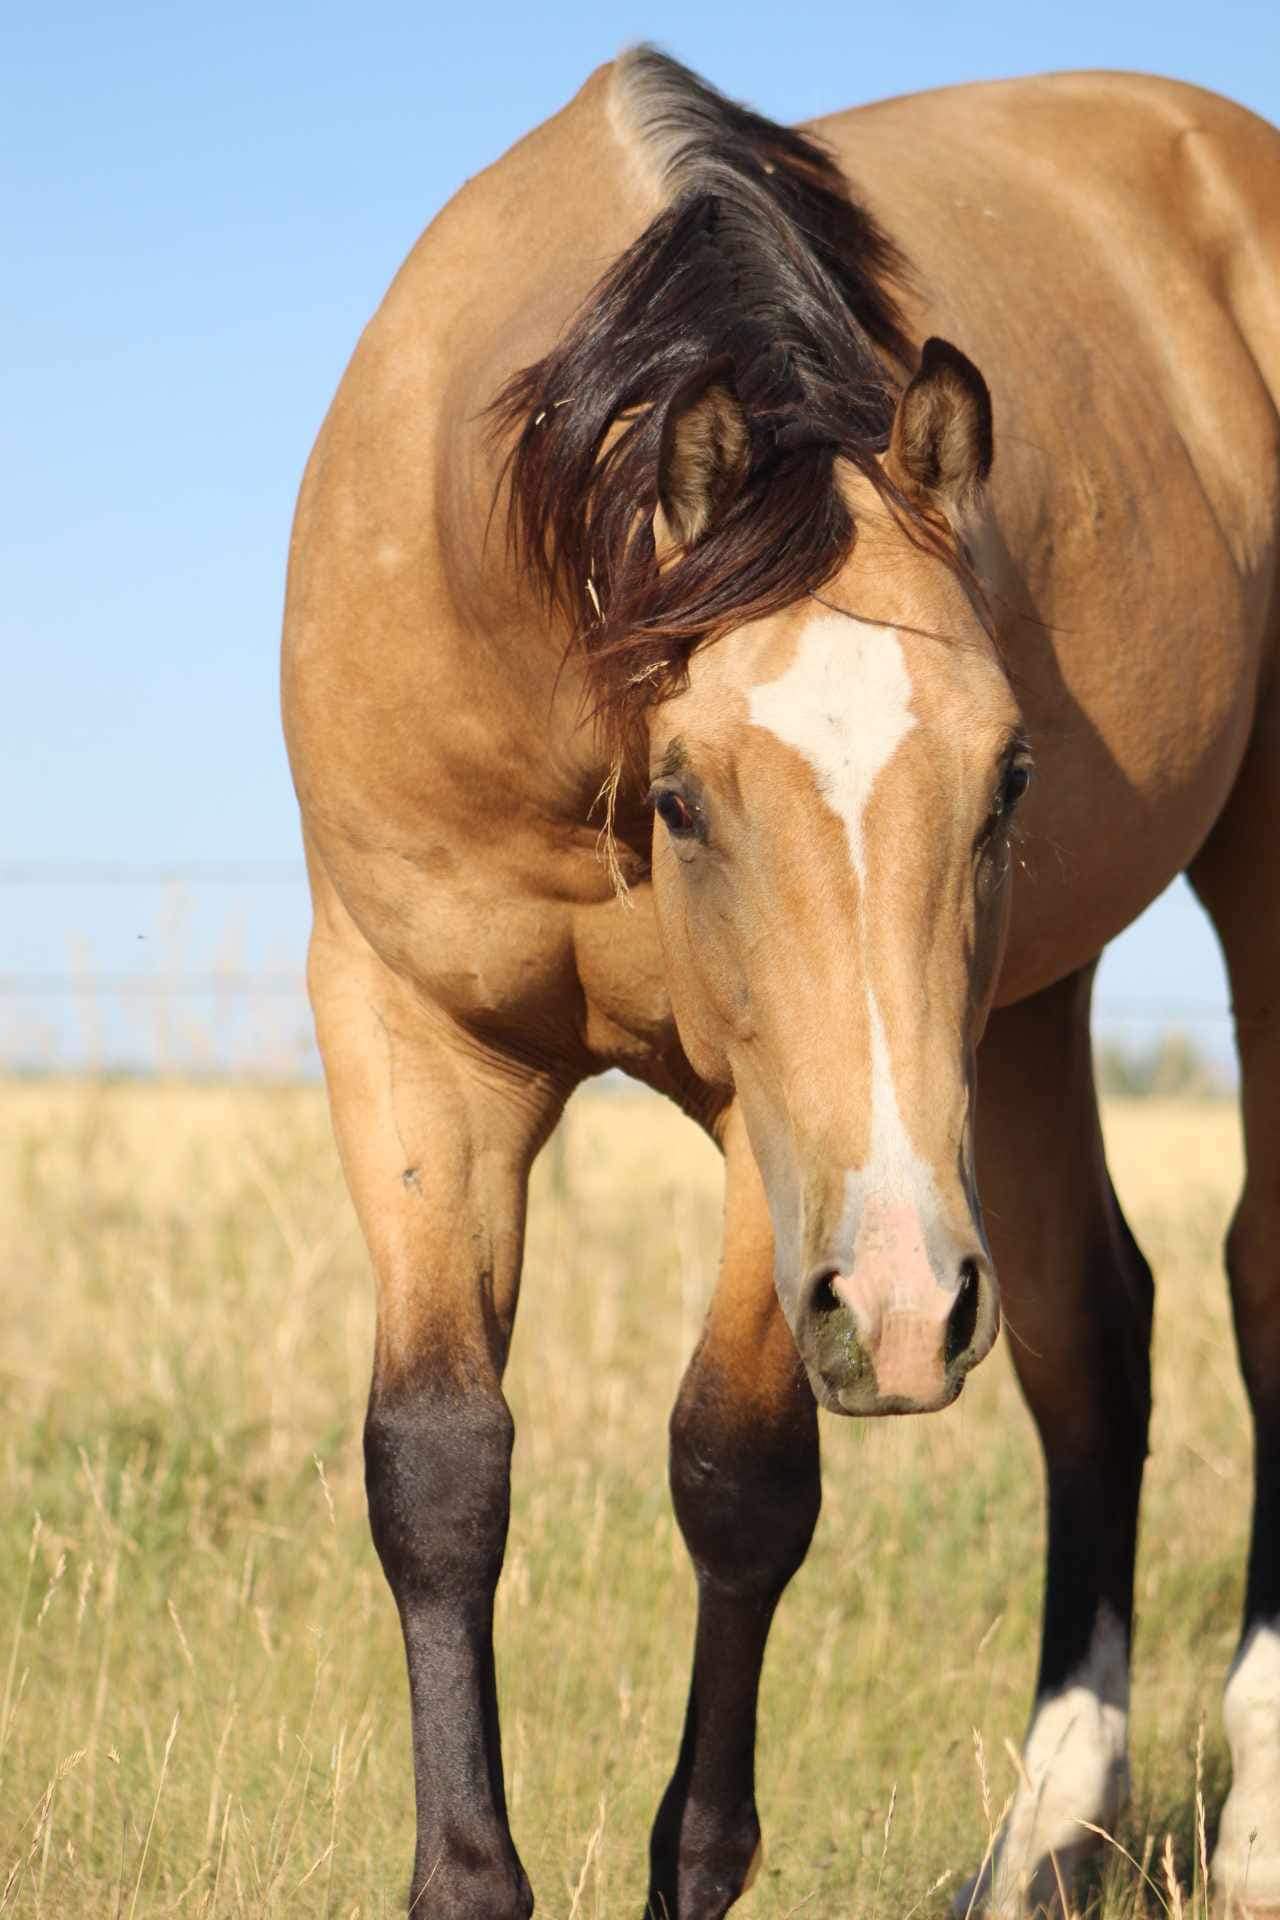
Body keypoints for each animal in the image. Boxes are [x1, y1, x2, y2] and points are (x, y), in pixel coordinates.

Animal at [282, 47, 1280, 1918]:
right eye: (686, 794)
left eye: (1006, 776)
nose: (902, 1306)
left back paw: (1254, 1831)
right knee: (1087, 1325)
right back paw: (1041, 1843)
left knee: (1251, 1280)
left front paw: (695, 1863)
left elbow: (737, 1471)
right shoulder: (407, 1034)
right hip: (1014, 1015)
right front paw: (467, 1874)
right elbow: (438, 1461)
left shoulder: (786, 1124)